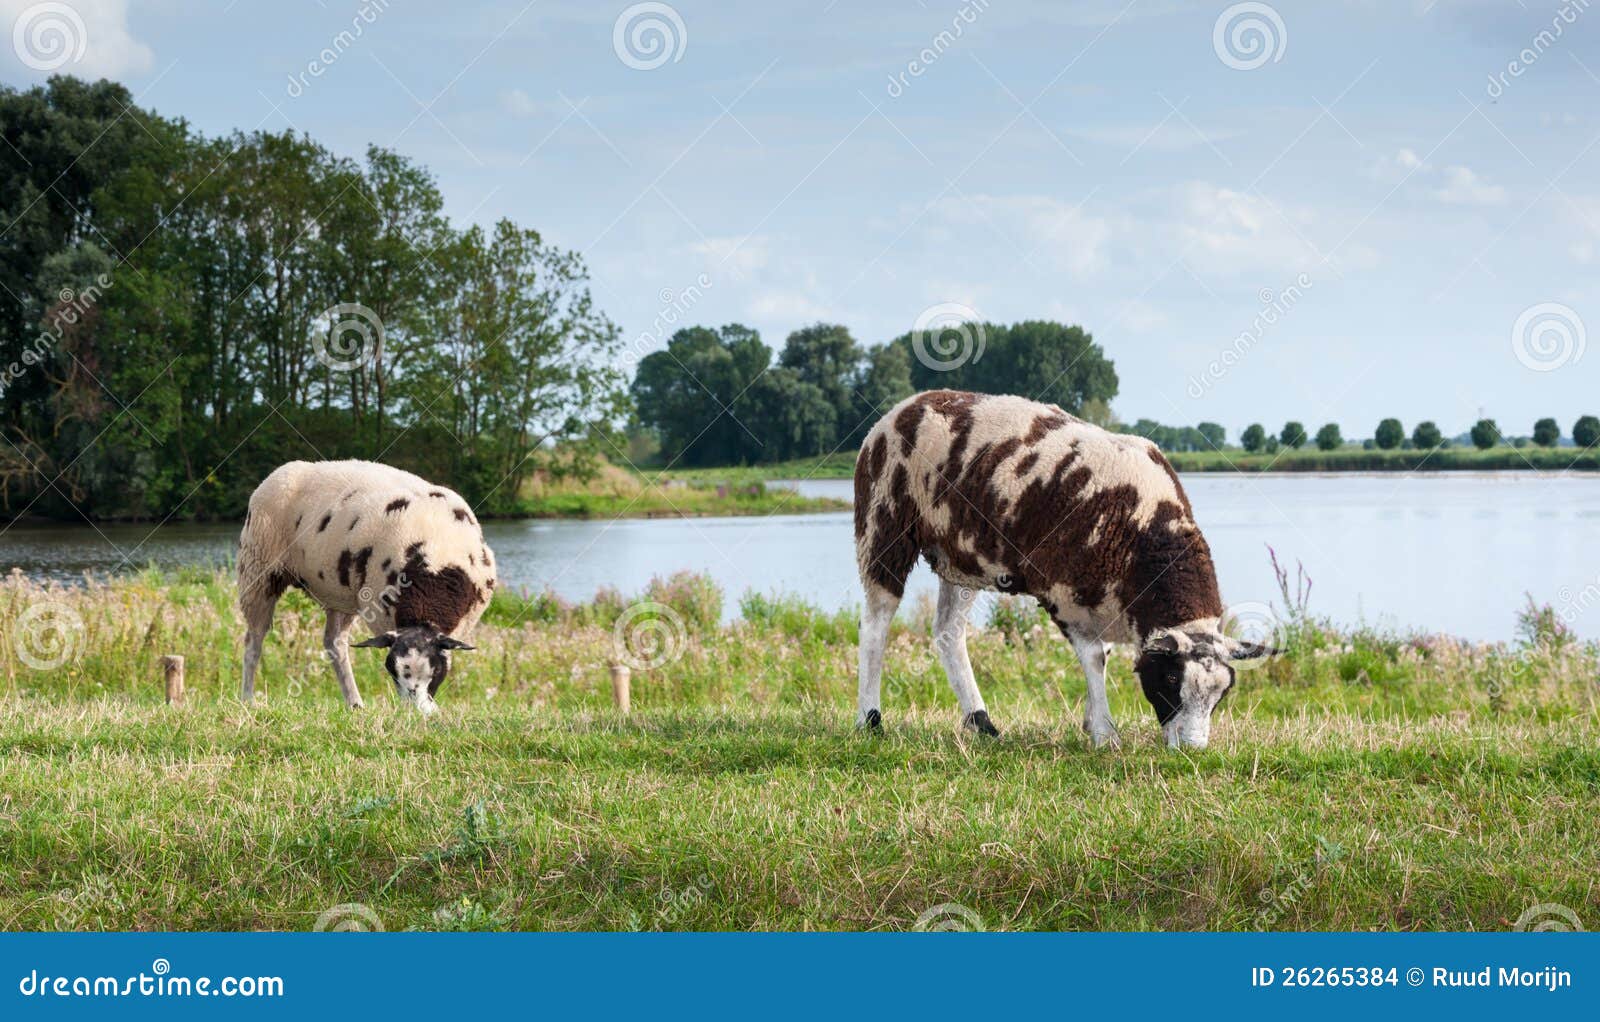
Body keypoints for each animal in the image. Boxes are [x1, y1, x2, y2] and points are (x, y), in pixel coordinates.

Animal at [237, 460, 497, 713]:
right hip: (258, 570)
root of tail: (278, 472)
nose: (416, 713)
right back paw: (247, 699)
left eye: (436, 671)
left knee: (334, 643)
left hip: (339, 594)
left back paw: (355, 703)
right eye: (392, 669)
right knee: (254, 640)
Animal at [853, 390, 1271, 749]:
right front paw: (1104, 733)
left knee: (947, 633)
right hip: (884, 524)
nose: (1193, 749)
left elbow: (1101, 658)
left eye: (1223, 692)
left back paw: (981, 723)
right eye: (1170, 678)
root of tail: (906, 406)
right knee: (875, 625)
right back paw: (870, 720)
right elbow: (1095, 658)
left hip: (959, 555)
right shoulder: (1063, 591)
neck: (1146, 531)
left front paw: (1091, 721)